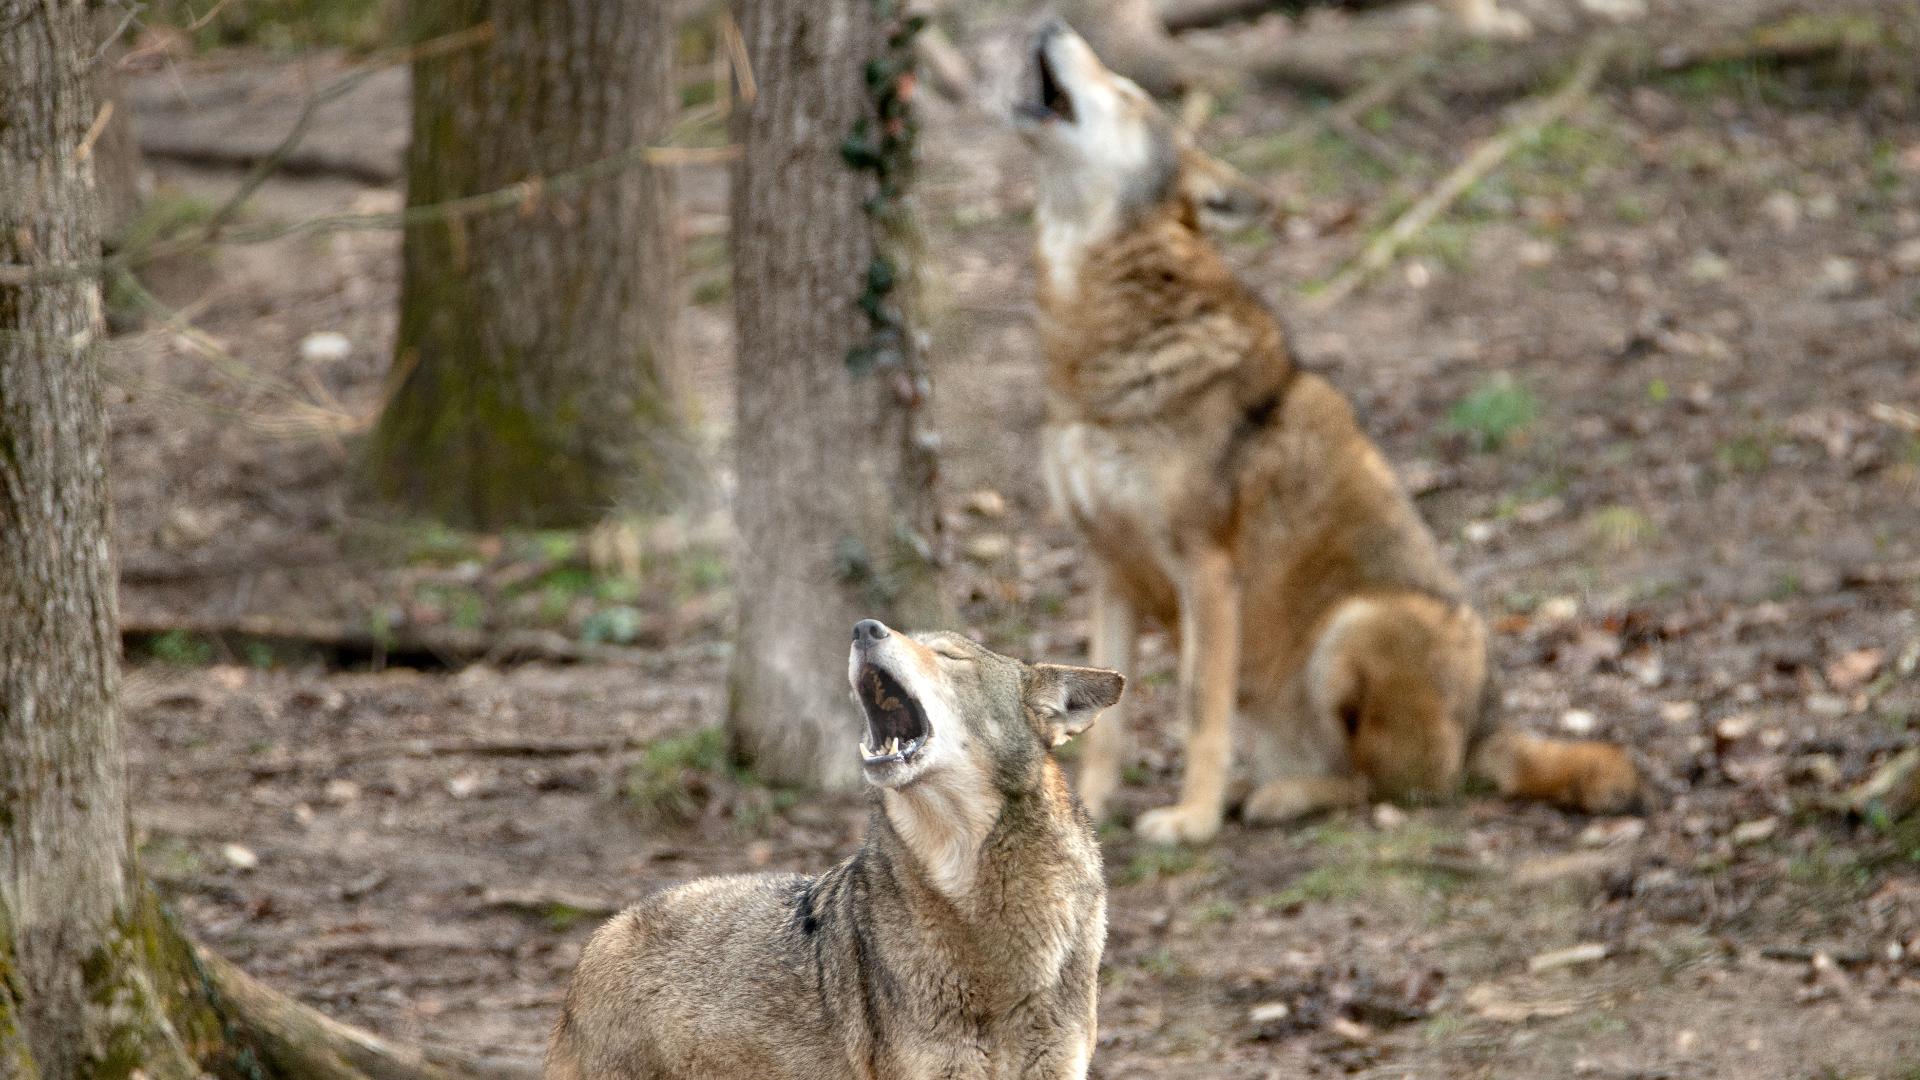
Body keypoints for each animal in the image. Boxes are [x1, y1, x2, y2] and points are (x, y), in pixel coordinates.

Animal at [1015, 22, 1641, 844]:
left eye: (1124, 91)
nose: (1049, 25)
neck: (1091, 361)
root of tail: (1489, 730)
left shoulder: (1206, 569)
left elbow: (1195, 709)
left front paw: (1191, 819)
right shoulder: (1108, 572)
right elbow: (1105, 726)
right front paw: (1090, 812)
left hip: (1357, 625)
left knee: (1391, 791)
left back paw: (1282, 798)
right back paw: (1265, 789)